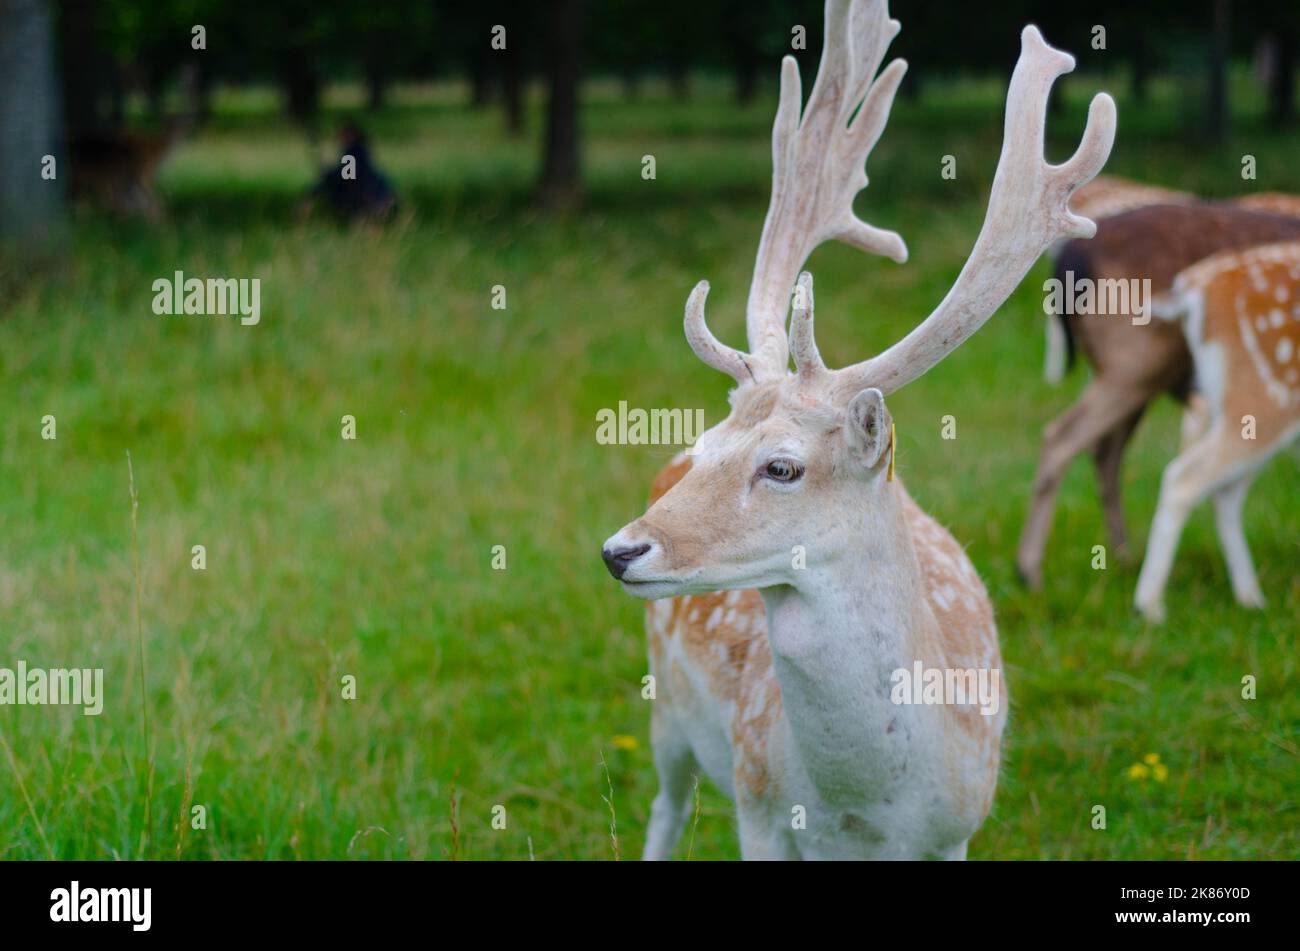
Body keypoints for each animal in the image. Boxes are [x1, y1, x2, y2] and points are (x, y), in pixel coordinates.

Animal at [600, 0, 1115, 860]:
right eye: (707, 449)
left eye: (782, 466)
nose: (620, 548)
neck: (865, 809)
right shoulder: (759, 801)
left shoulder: (959, 824)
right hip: (669, 714)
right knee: (665, 811)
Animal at [1132, 241, 1300, 622]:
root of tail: (1196, 284)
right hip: (1264, 397)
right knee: (1184, 477)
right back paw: (1150, 607)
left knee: (1224, 492)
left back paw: (1251, 598)